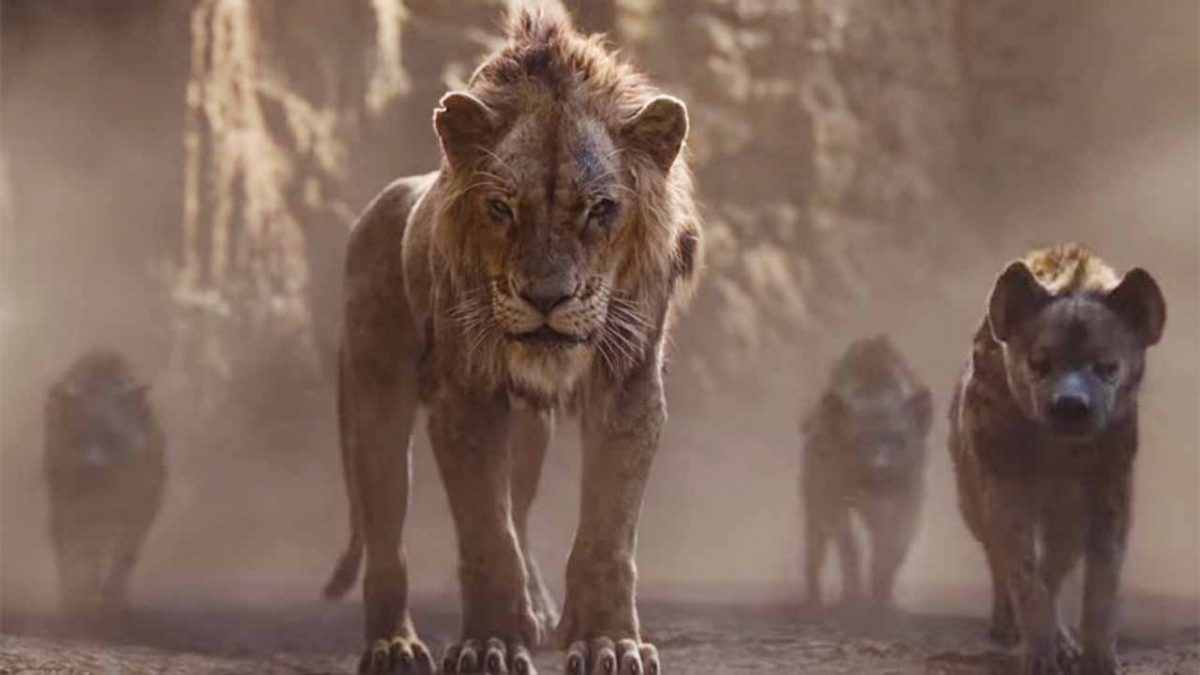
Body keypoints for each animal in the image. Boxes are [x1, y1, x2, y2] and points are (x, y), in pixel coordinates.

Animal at [322, 7, 701, 675]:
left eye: (599, 209)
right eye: (501, 208)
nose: (546, 298)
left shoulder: (629, 388)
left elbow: (606, 534)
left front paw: (606, 642)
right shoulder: (467, 398)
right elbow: (486, 536)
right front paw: (489, 644)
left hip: (528, 431)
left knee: (520, 511)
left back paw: (541, 612)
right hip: (376, 399)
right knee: (388, 532)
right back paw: (393, 645)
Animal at [950, 244, 1166, 675]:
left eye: (1107, 367)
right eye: (1039, 363)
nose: (1071, 405)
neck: (1056, 452)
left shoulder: (1108, 483)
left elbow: (1099, 575)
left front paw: (1096, 657)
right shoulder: (1003, 482)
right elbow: (1022, 569)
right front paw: (1039, 654)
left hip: (1064, 511)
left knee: (1057, 558)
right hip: (972, 497)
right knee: (996, 554)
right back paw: (1007, 627)